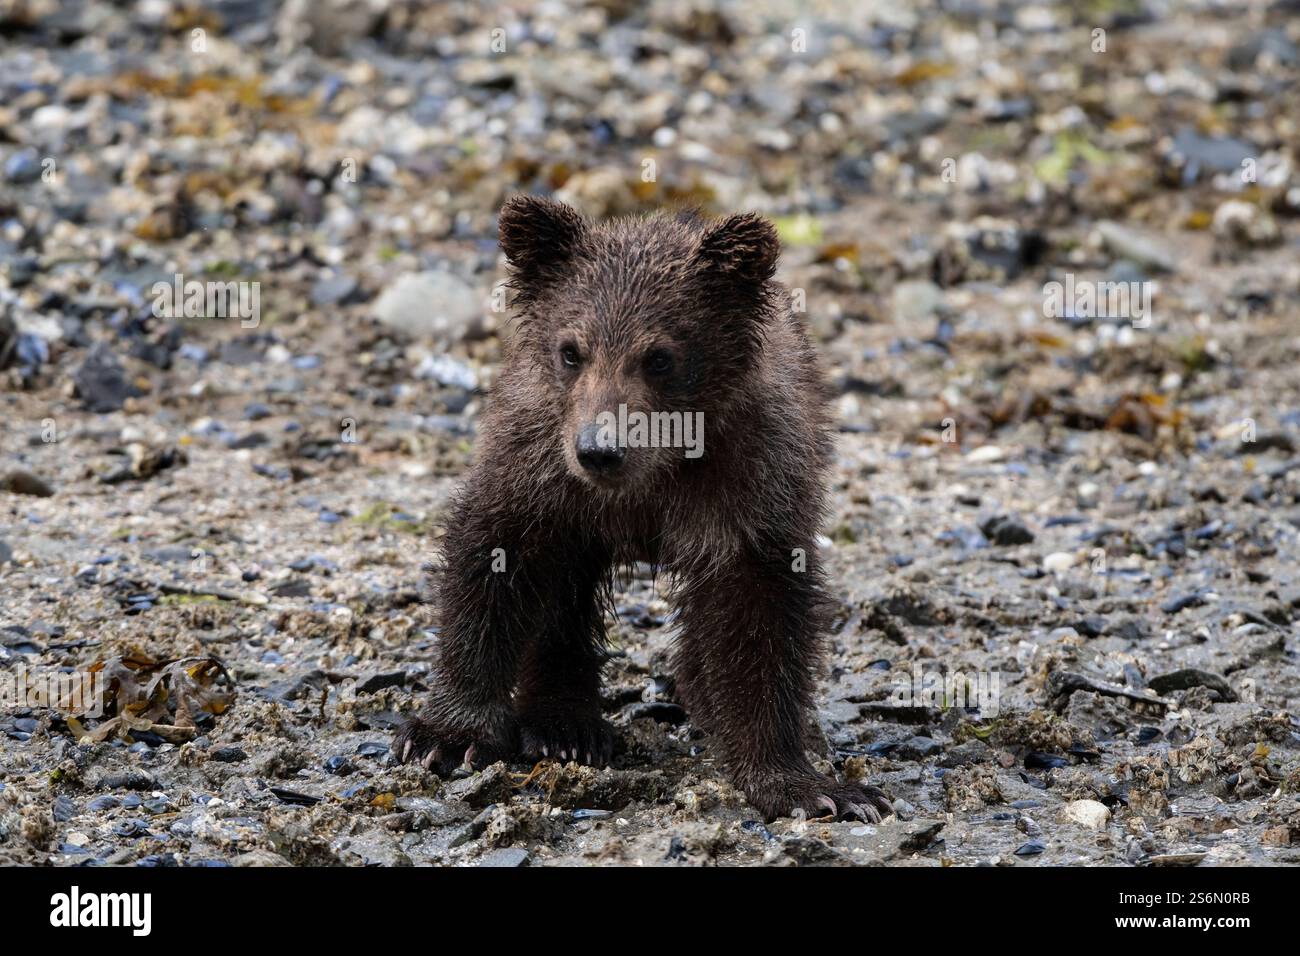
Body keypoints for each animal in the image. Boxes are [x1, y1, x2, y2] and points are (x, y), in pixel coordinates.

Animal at [392, 196, 892, 822]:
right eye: (571, 350)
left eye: (659, 357)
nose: (601, 450)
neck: (654, 474)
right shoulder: (537, 468)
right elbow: (492, 563)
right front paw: (447, 735)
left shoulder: (750, 484)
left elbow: (758, 615)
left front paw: (809, 785)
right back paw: (567, 727)